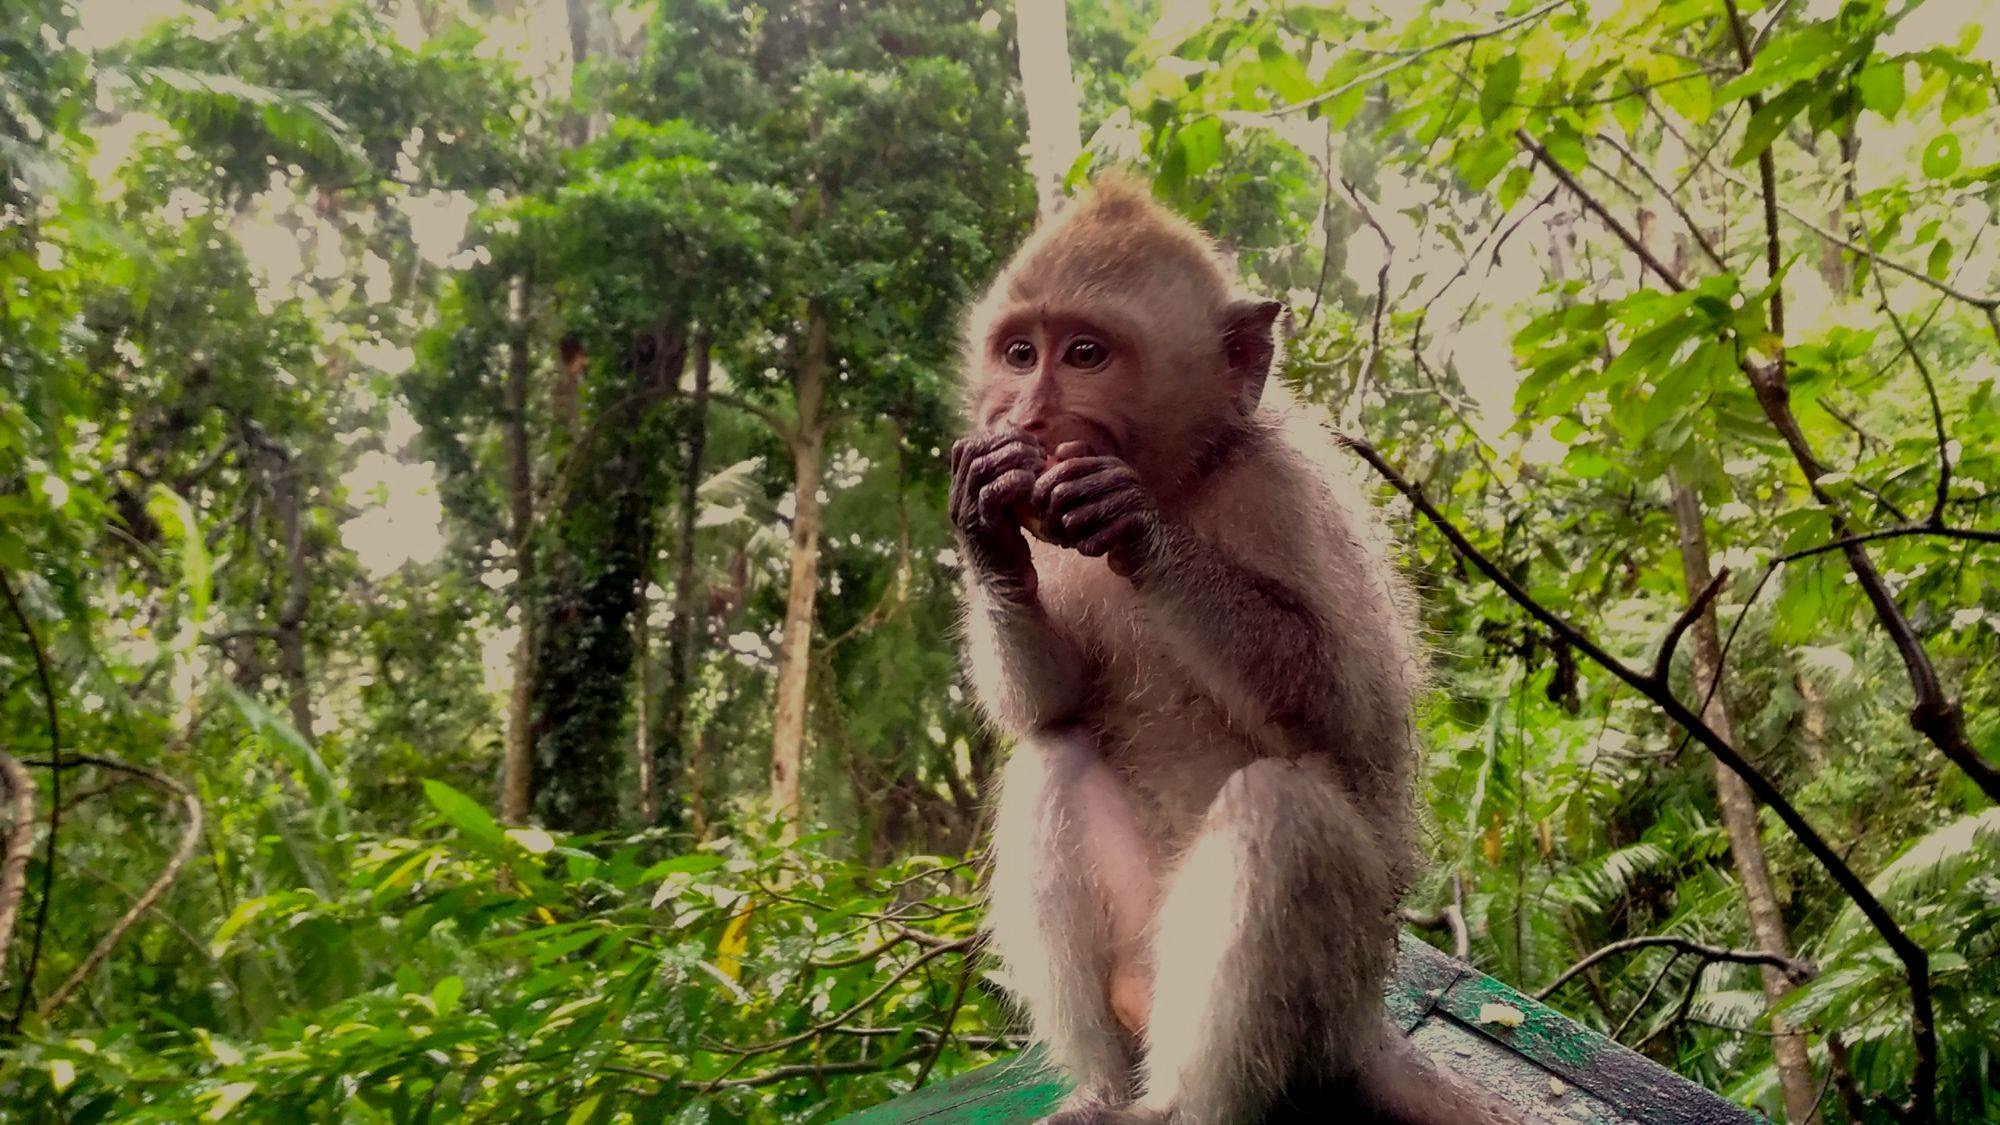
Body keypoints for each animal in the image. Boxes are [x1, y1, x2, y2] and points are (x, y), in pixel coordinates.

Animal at [949, 178, 1516, 1125]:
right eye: (1021, 352)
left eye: (1087, 353)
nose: (1027, 415)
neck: (1185, 475)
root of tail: (1367, 1026)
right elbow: (1051, 701)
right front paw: (985, 529)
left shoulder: (1286, 494)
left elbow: (1344, 710)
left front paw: (1137, 528)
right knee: (1053, 756)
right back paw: (1104, 1086)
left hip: (1333, 996)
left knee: (1284, 812)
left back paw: (1173, 1107)